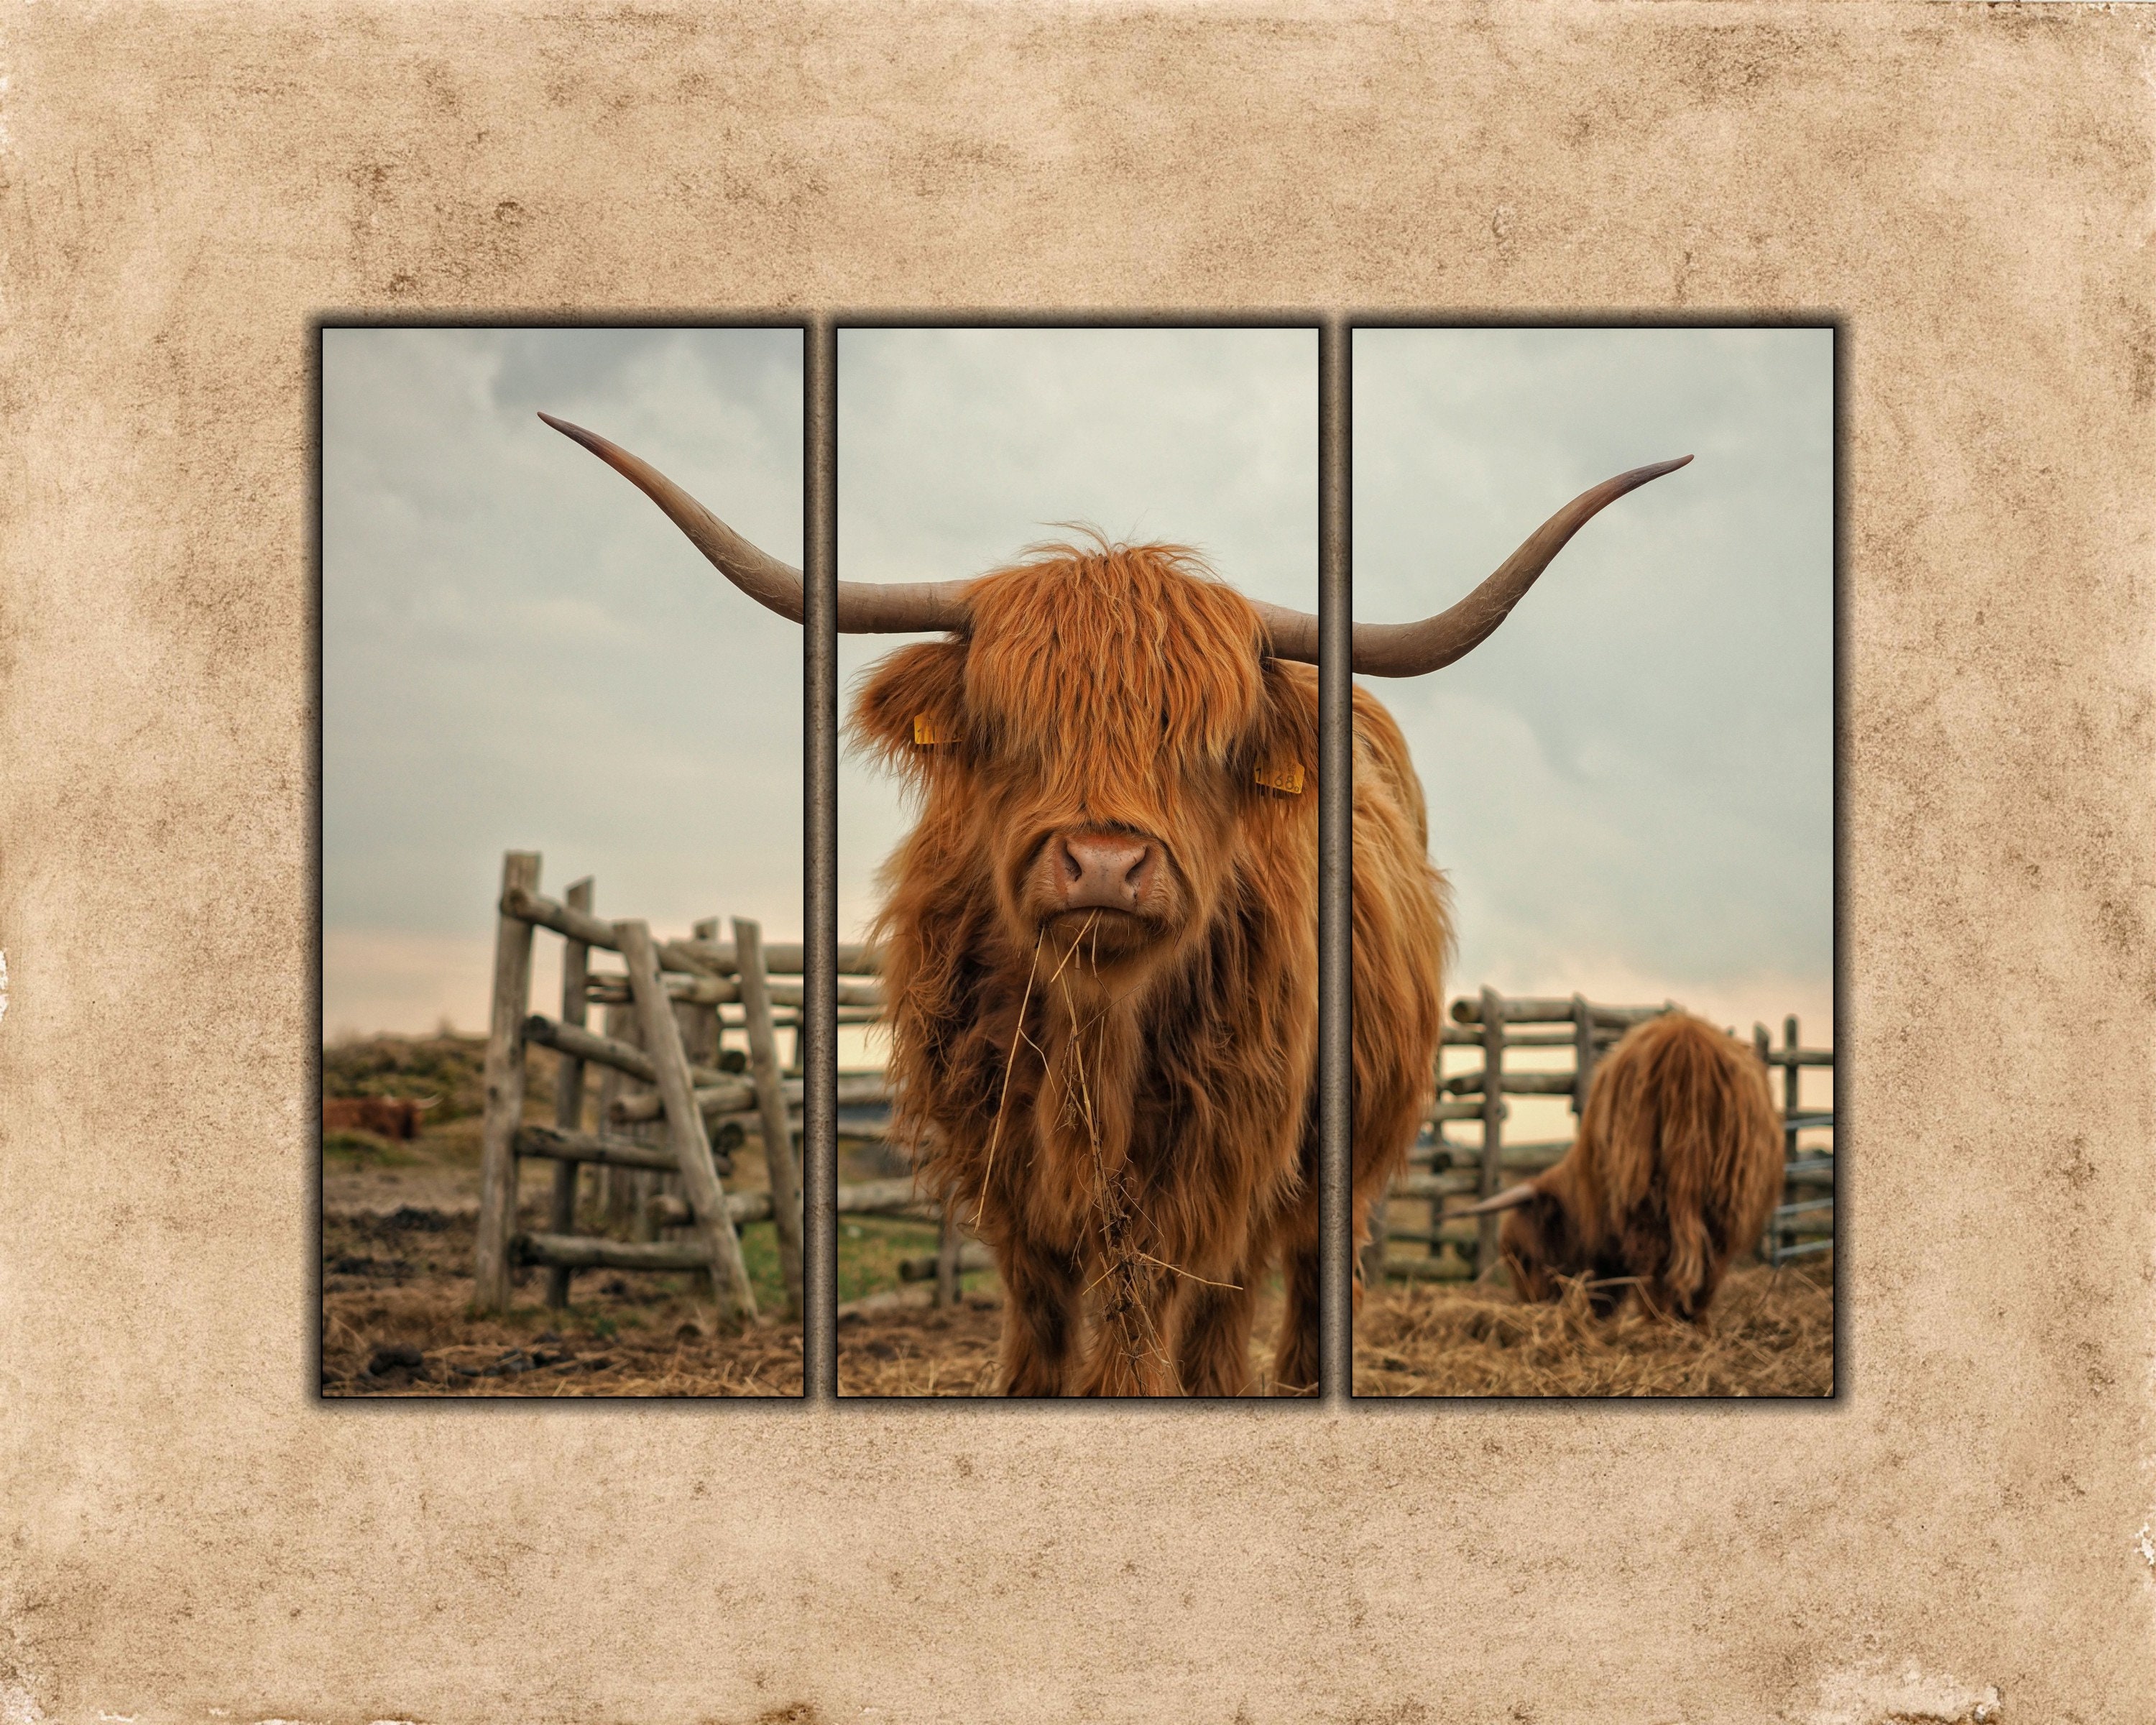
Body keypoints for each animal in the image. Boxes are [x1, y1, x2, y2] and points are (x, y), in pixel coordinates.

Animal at [541, 408, 1688, 1394]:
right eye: (1012, 725)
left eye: (1209, 744)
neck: (1092, 1034)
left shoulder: (1210, 1161)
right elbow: (1043, 1315)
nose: (1102, 864)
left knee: (1279, 1288)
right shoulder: (999, 1163)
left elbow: (1149, 1313)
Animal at [1462, 1011, 1782, 1323]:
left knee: (1655, 1256)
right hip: (1726, 1193)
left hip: (1642, 1189)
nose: (1531, 1306)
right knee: (1711, 1258)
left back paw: (1656, 1320)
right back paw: (1692, 1321)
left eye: (1524, 1257)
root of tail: (1685, 1040)